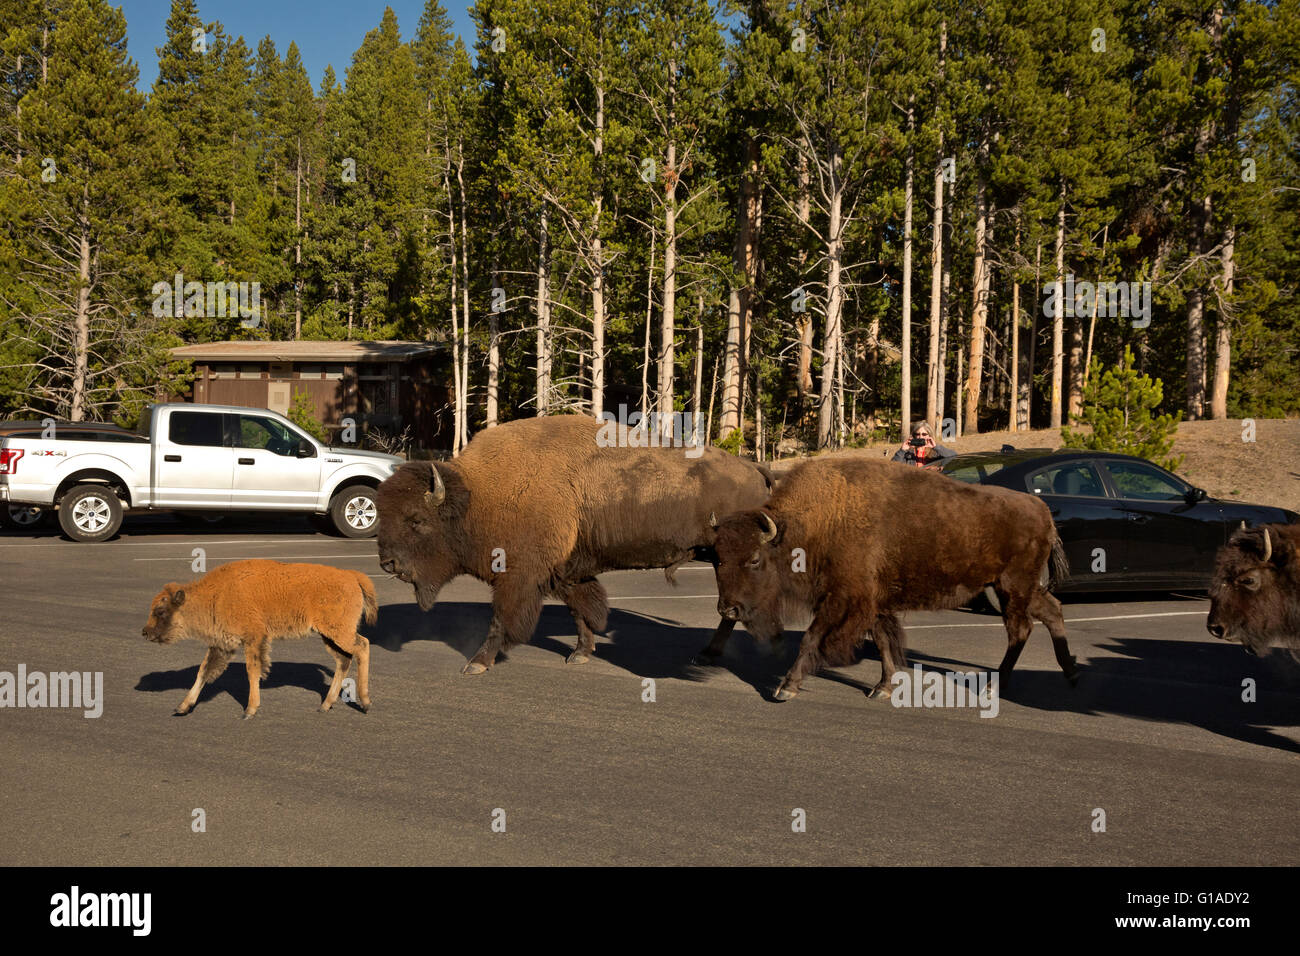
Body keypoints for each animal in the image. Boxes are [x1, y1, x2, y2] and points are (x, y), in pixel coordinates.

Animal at [376, 416, 772, 674]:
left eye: (416, 520)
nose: (387, 564)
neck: (478, 495)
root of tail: (754, 469)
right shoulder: (565, 572)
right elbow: (583, 611)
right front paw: (581, 653)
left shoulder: (519, 576)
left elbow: (502, 618)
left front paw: (478, 662)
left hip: (729, 560)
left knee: (732, 608)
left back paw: (708, 654)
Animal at [709, 457, 1079, 702]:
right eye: (717, 558)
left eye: (754, 559)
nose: (728, 609)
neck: (821, 518)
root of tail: (1043, 510)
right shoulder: (873, 602)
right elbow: (885, 642)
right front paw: (882, 688)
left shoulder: (843, 598)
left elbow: (811, 639)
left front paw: (786, 687)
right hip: (1016, 588)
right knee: (1052, 611)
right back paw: (1071, 674)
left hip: (1012, 587)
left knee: (1021, 629)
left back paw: (994, 686)